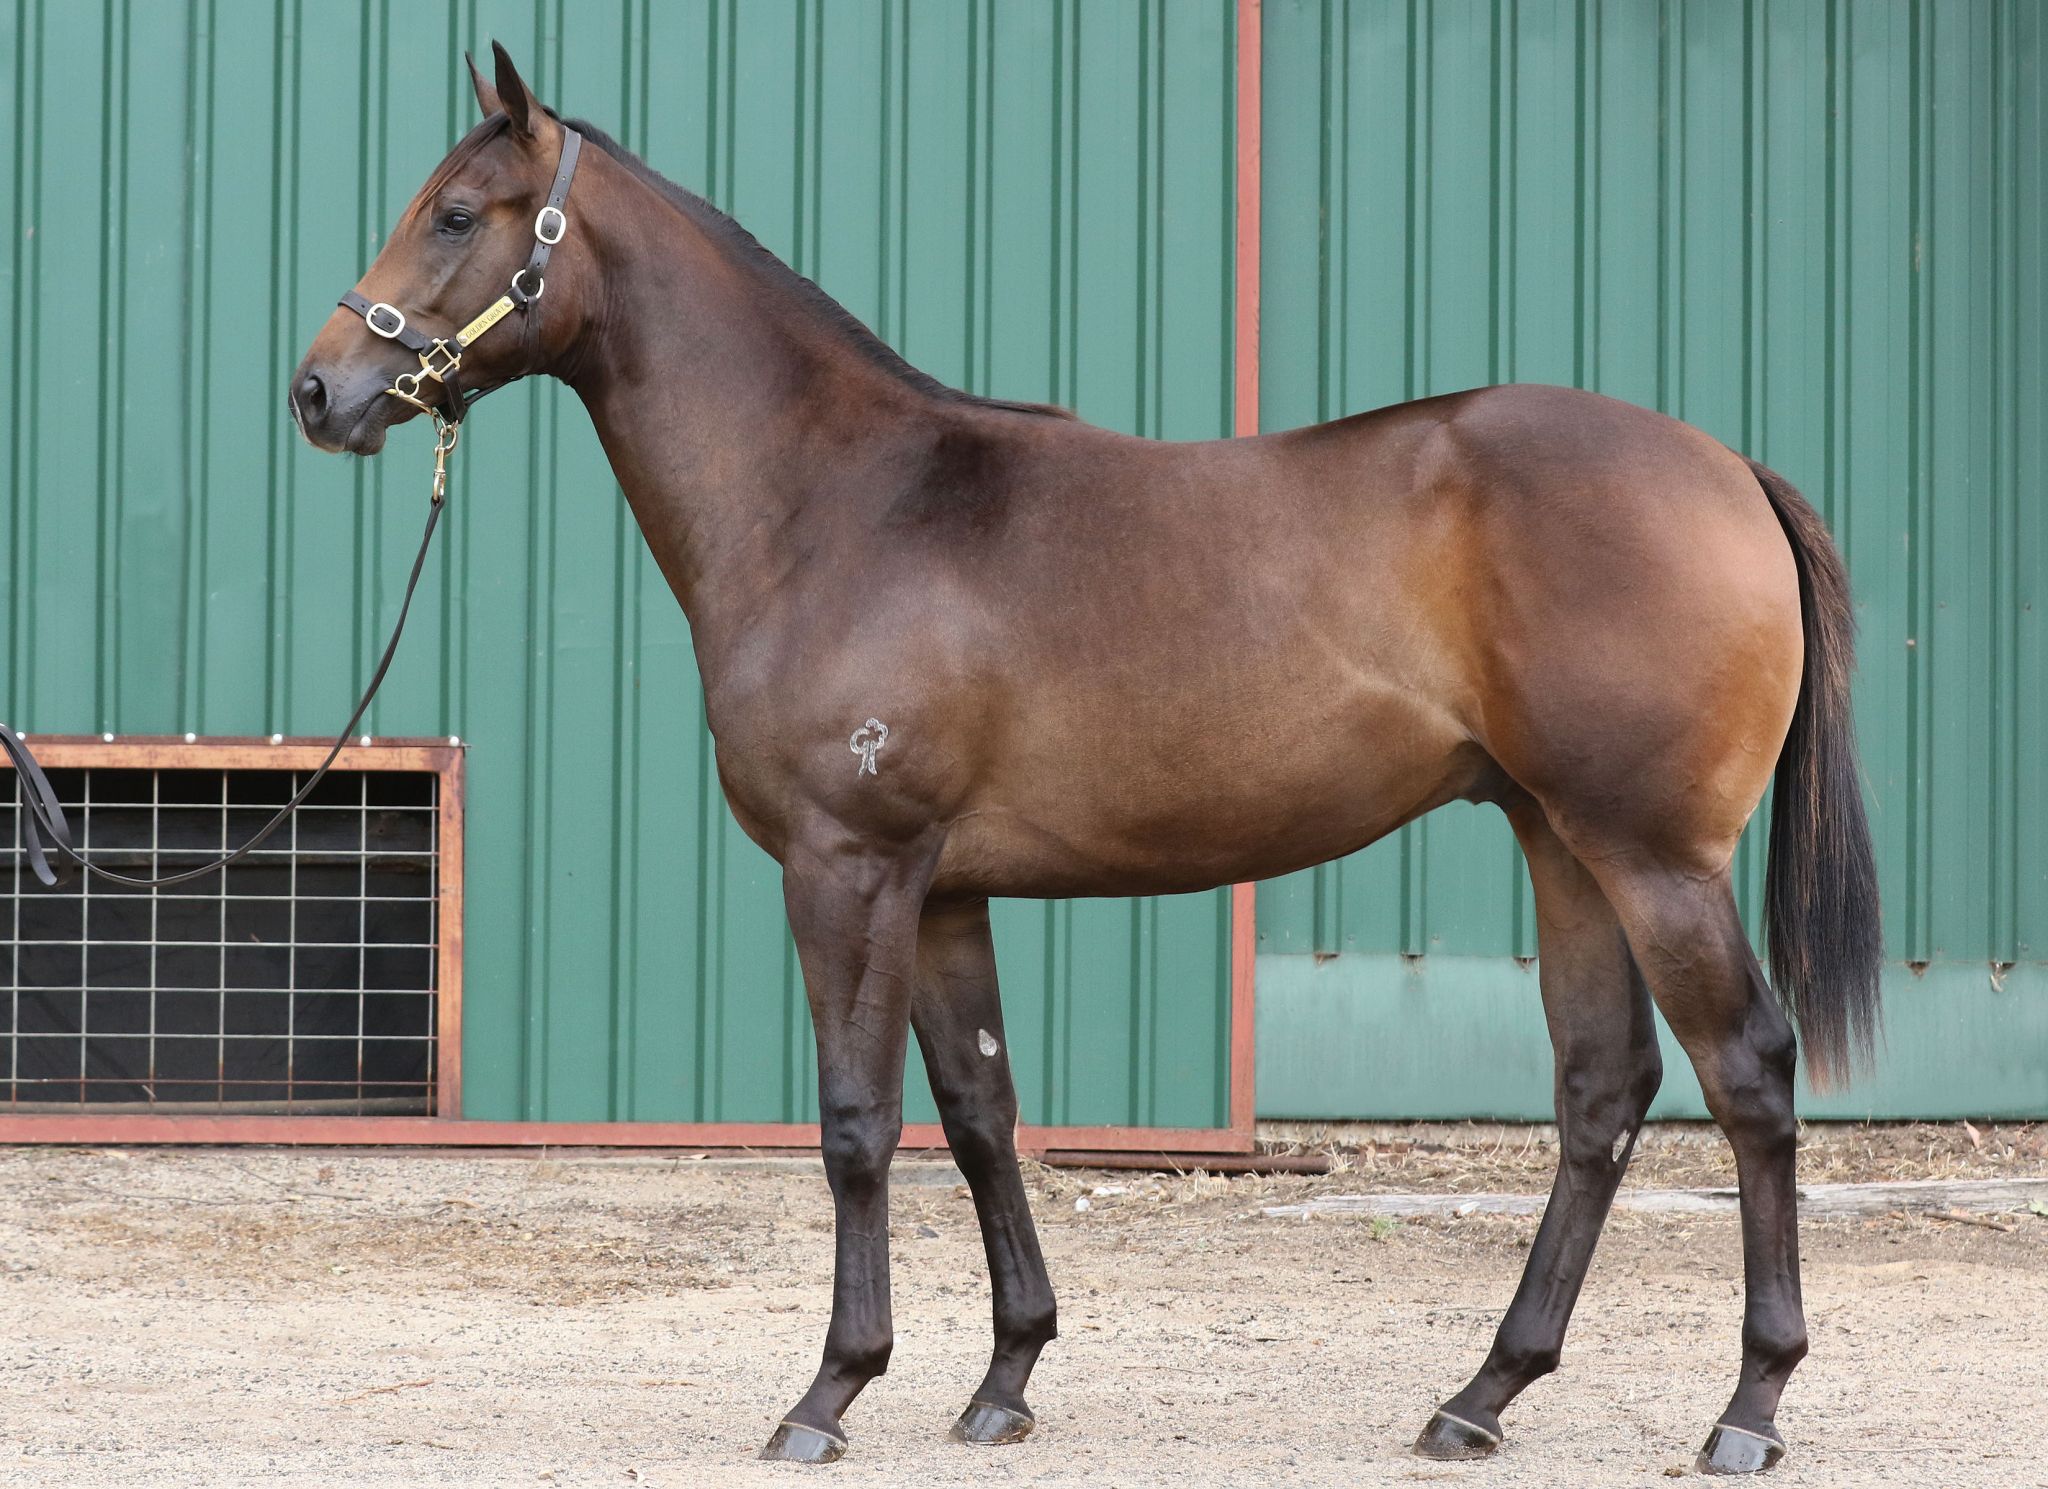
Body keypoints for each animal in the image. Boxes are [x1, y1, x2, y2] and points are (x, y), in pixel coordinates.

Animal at [290, 45, 1880, 1476]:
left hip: (1652, 855)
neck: (841, 502)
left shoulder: (848, 867)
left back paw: (1747, 1409)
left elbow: (858, 1124)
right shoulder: (940, 890)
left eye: (454, 213)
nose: (320, 391)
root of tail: (1727, 469)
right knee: (1601, 1090)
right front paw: (1004, 1377)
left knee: (1746, 1072)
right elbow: (980, 1114)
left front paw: (829, 1392)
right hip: (1559, 838)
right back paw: (1480, 1395)